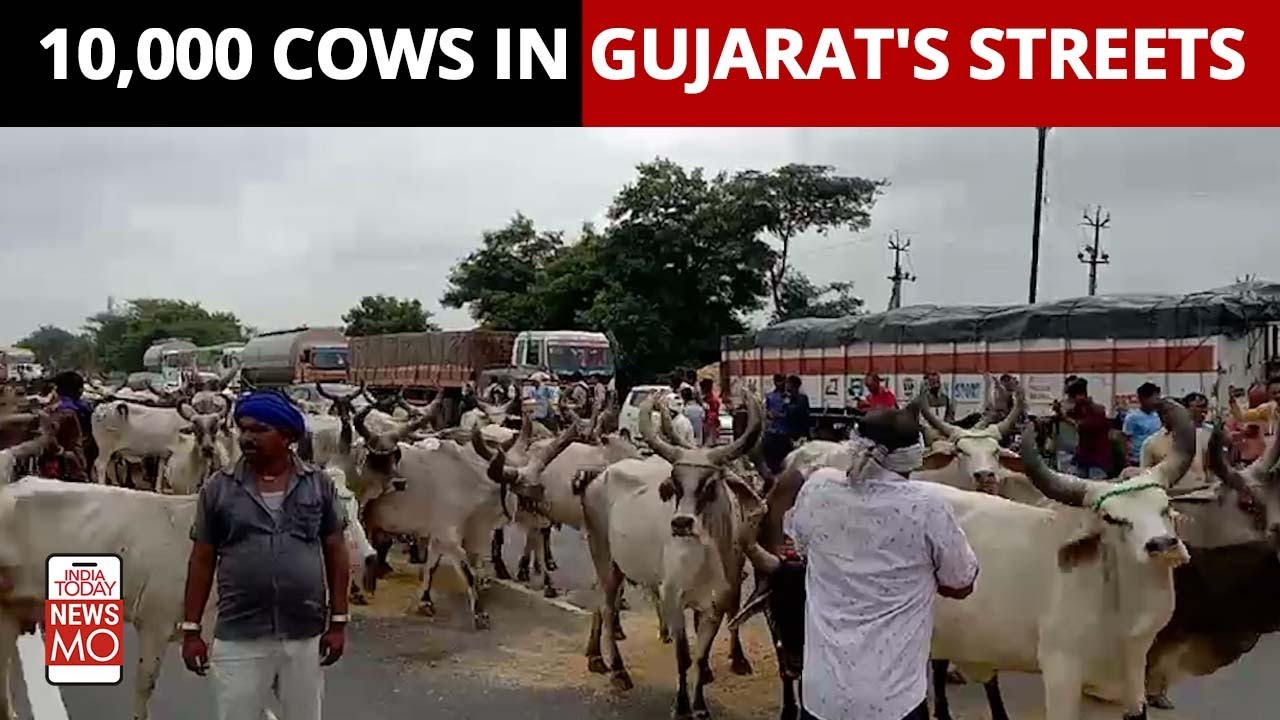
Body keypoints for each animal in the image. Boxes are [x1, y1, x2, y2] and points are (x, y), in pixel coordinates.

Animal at [577, 393, 765, 720]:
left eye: (710, 485)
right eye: (675, 483)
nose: (680, 523)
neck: (704, 559)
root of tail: (600, 476)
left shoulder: (716, 604)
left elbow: (701, 657)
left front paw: (700, 705)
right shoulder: (673, 599)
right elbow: (684, 657)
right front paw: (682, 706)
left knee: (604, 604)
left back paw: (598, 657)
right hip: (604, 558)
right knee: (608, 607)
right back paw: (618, 670)